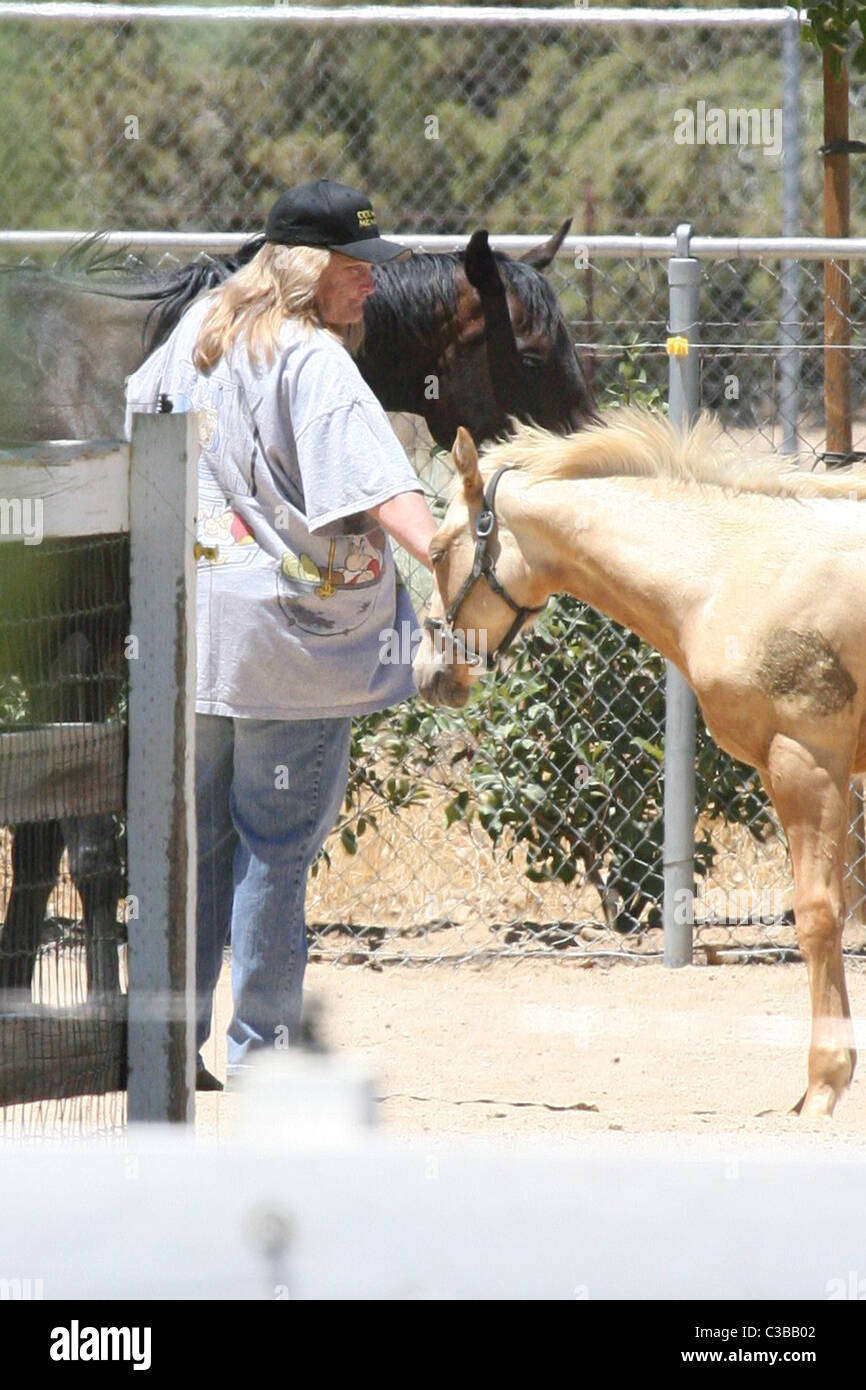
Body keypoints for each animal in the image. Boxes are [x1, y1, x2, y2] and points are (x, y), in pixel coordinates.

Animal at [413, 408, 866, 1119]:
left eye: (436, 551)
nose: (428, 672)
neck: (734, 569)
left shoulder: (809, 763)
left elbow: (819, 916)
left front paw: (823, 1087)